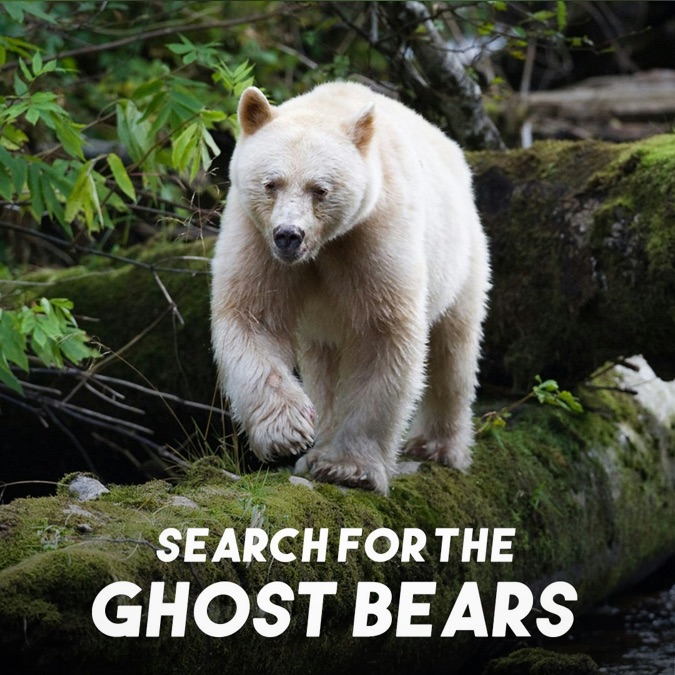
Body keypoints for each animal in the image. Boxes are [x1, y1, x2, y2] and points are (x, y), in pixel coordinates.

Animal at [210, 81, 490, 495]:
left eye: (320, 190)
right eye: (271, 183)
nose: (288, 235)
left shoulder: (373, 234)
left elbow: (382, 335)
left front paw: (349, 468)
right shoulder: (255, 237)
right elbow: (253, 317)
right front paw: (287, 432)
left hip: (462, 258)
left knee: (453, 349)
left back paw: (438, 447)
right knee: (323, 364)